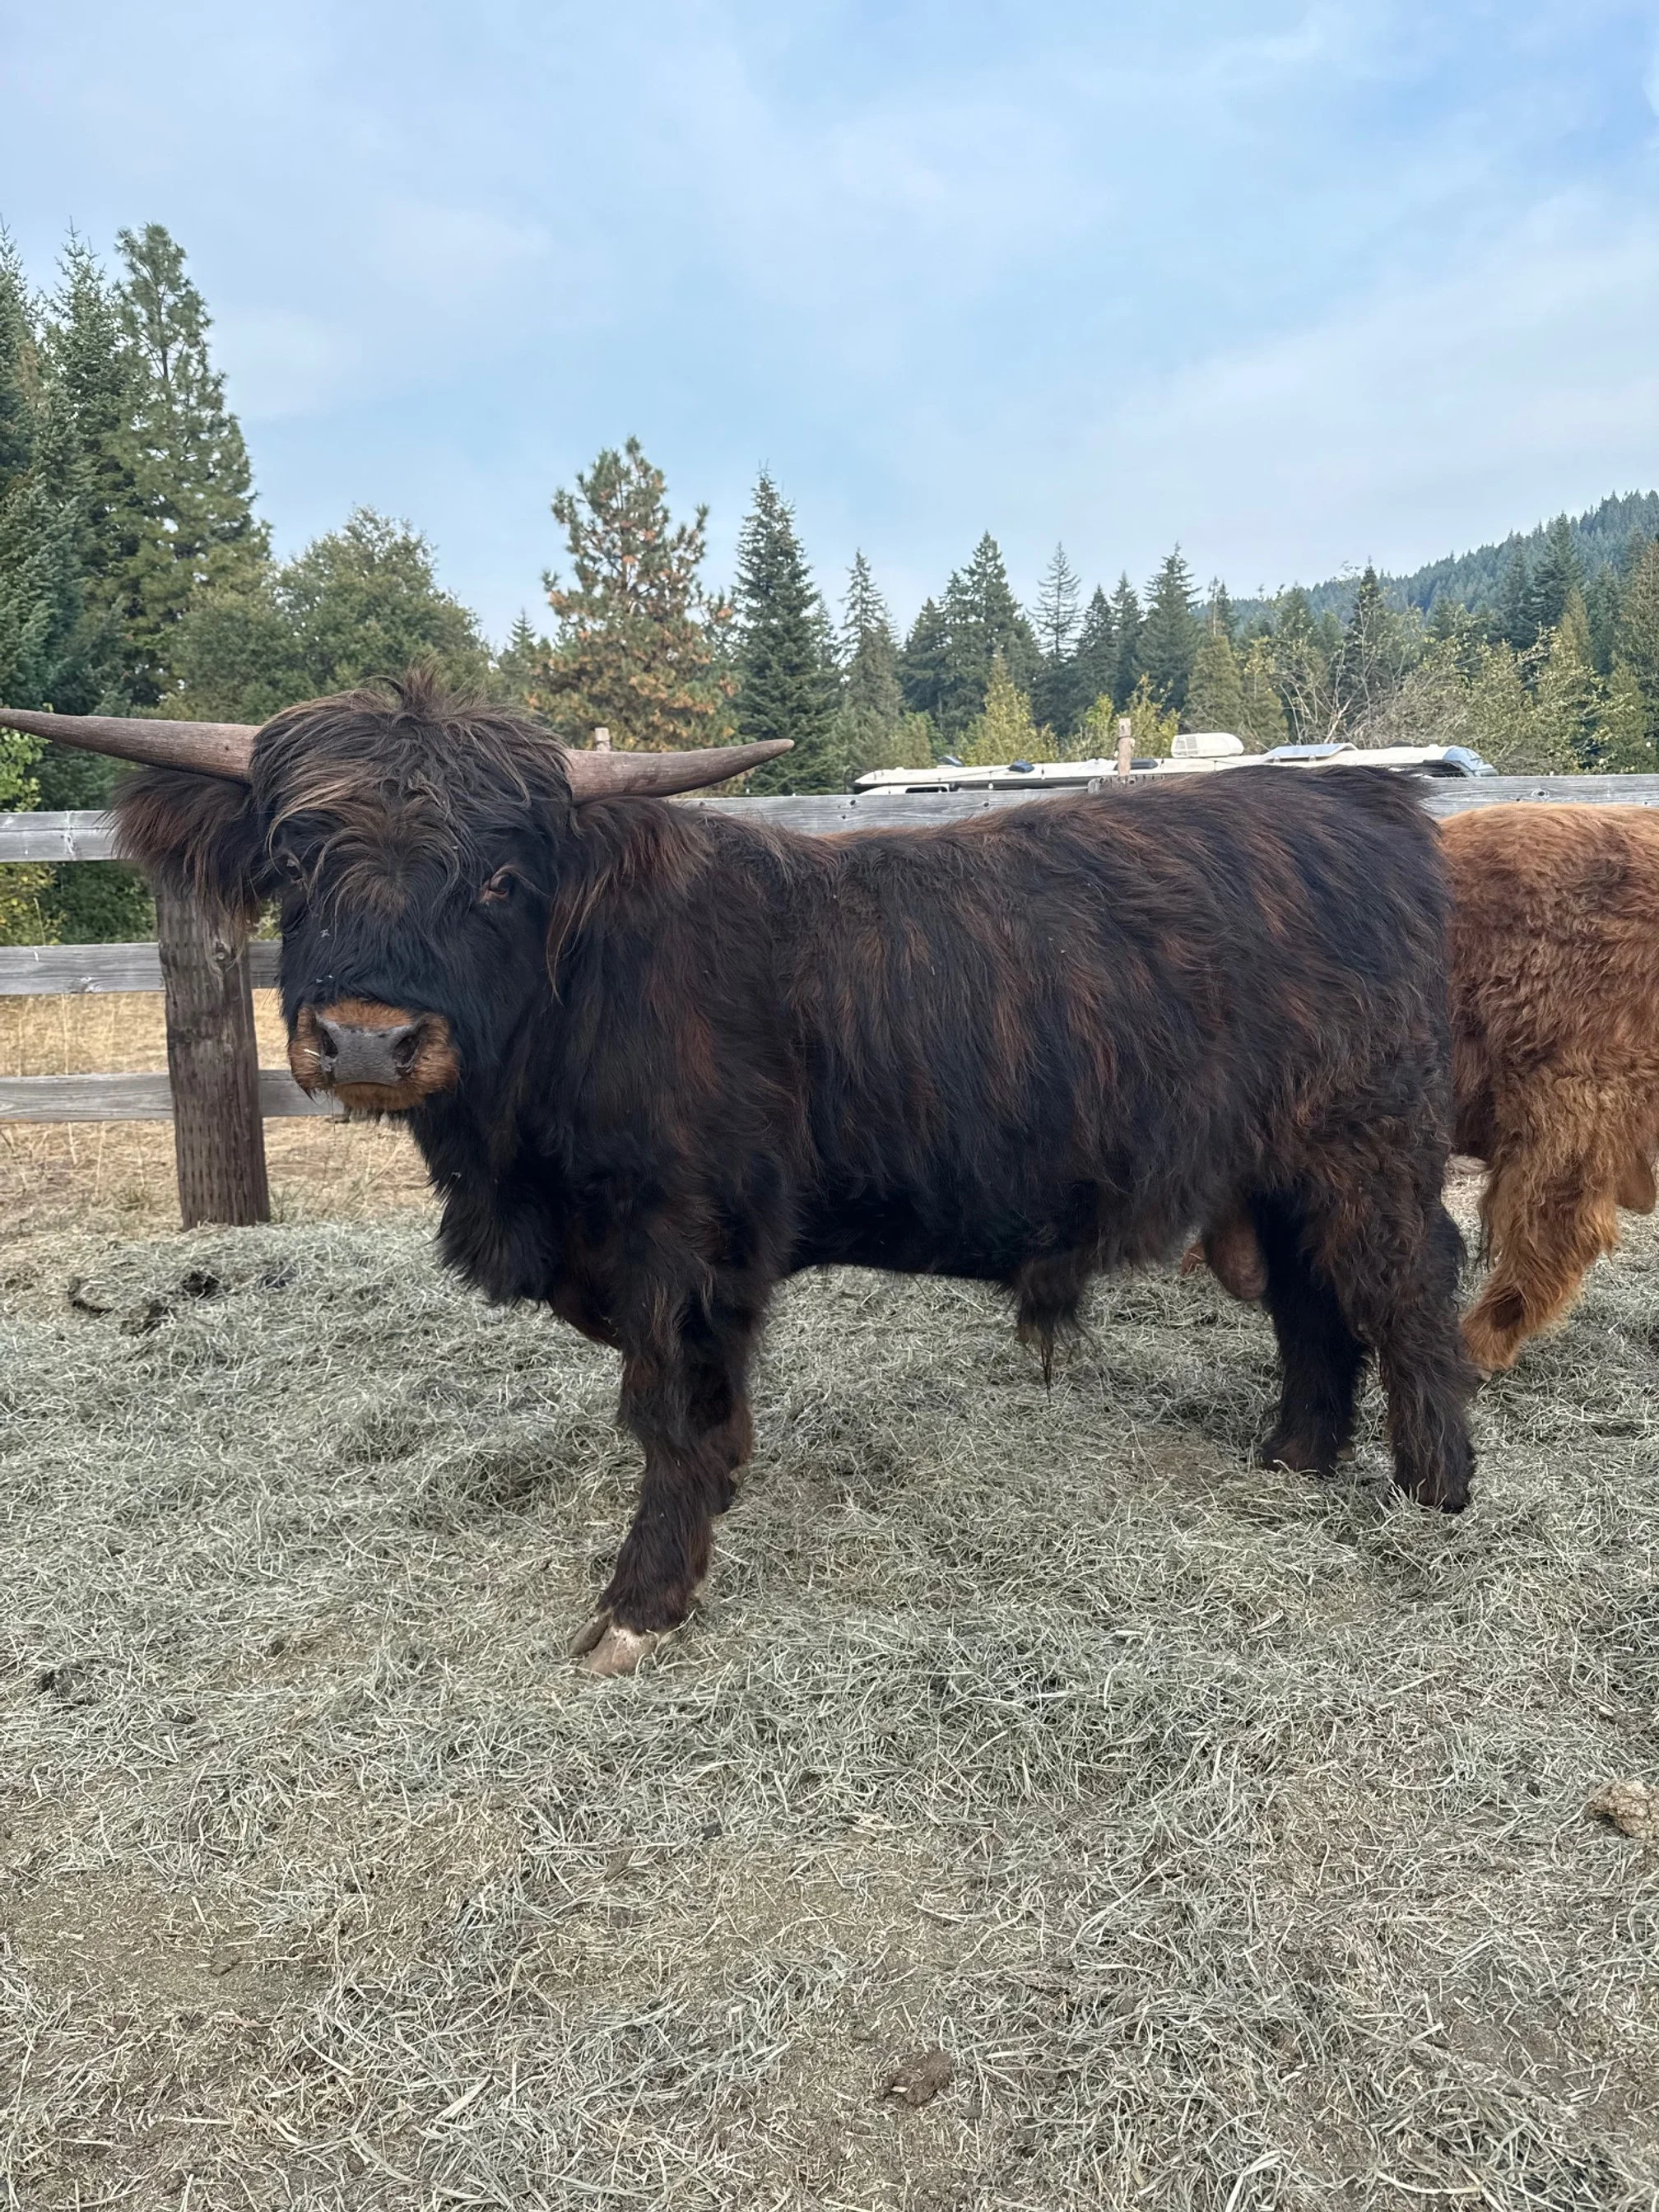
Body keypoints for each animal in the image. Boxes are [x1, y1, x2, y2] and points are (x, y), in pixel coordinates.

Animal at [0, 678, 1477, 1675]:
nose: (368, 1035)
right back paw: (1292, 1459)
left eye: (498, 875)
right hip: (1281, 1161)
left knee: (1408, 1292)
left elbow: (674, 1414)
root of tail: (1366, 801)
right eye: (296, 856)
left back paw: (1434, 1494)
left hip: (1369, 1140)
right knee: (1312, 1304)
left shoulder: (686, 1244)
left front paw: (640, 1604)